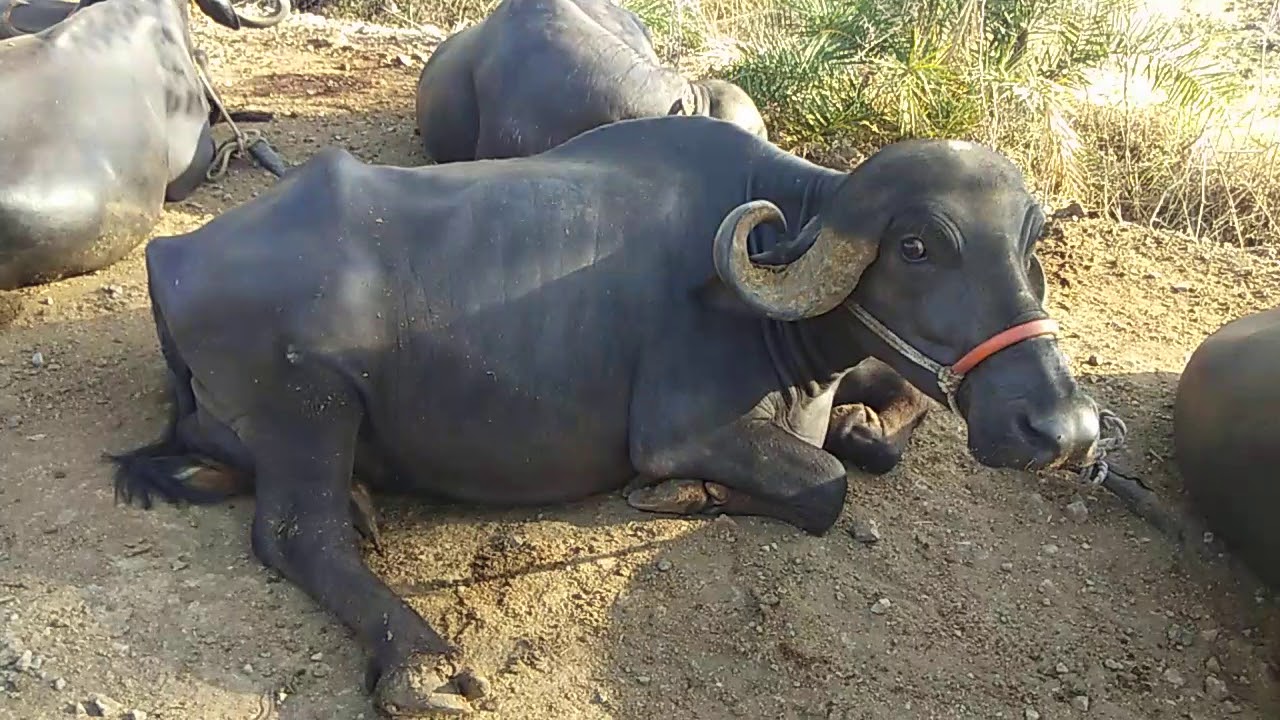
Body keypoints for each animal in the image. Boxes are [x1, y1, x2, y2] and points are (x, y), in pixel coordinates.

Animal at [108, 116, 1101, 716]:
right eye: (919, 245)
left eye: (1032, 240)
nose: (1063, 431)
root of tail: (173, 257)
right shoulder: (676, 427)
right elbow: (824, 486)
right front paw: (681, 496)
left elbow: (881, 427)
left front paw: (856, 430)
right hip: (311, 400)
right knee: (294, 534)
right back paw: (422, 660)